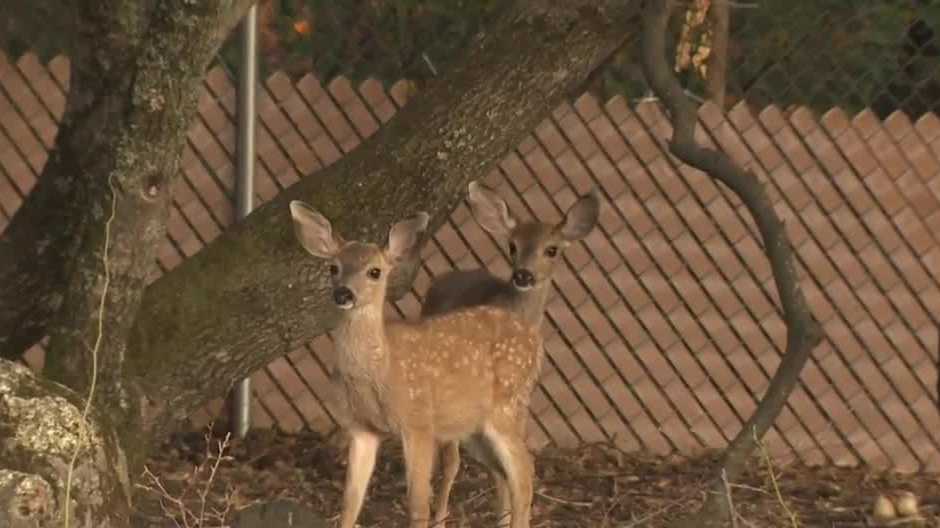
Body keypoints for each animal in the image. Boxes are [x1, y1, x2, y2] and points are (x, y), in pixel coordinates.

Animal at [289, 200, 544, 528]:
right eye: (334, 268)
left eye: (375, 271)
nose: (343, 293)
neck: (380, 370)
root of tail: (535, 337)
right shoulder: (361, 428)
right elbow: (350, 503)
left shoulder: (418, 421)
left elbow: (417, 504)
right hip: (473, 424)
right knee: (506, 473)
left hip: (508, 404)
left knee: (524, 472)